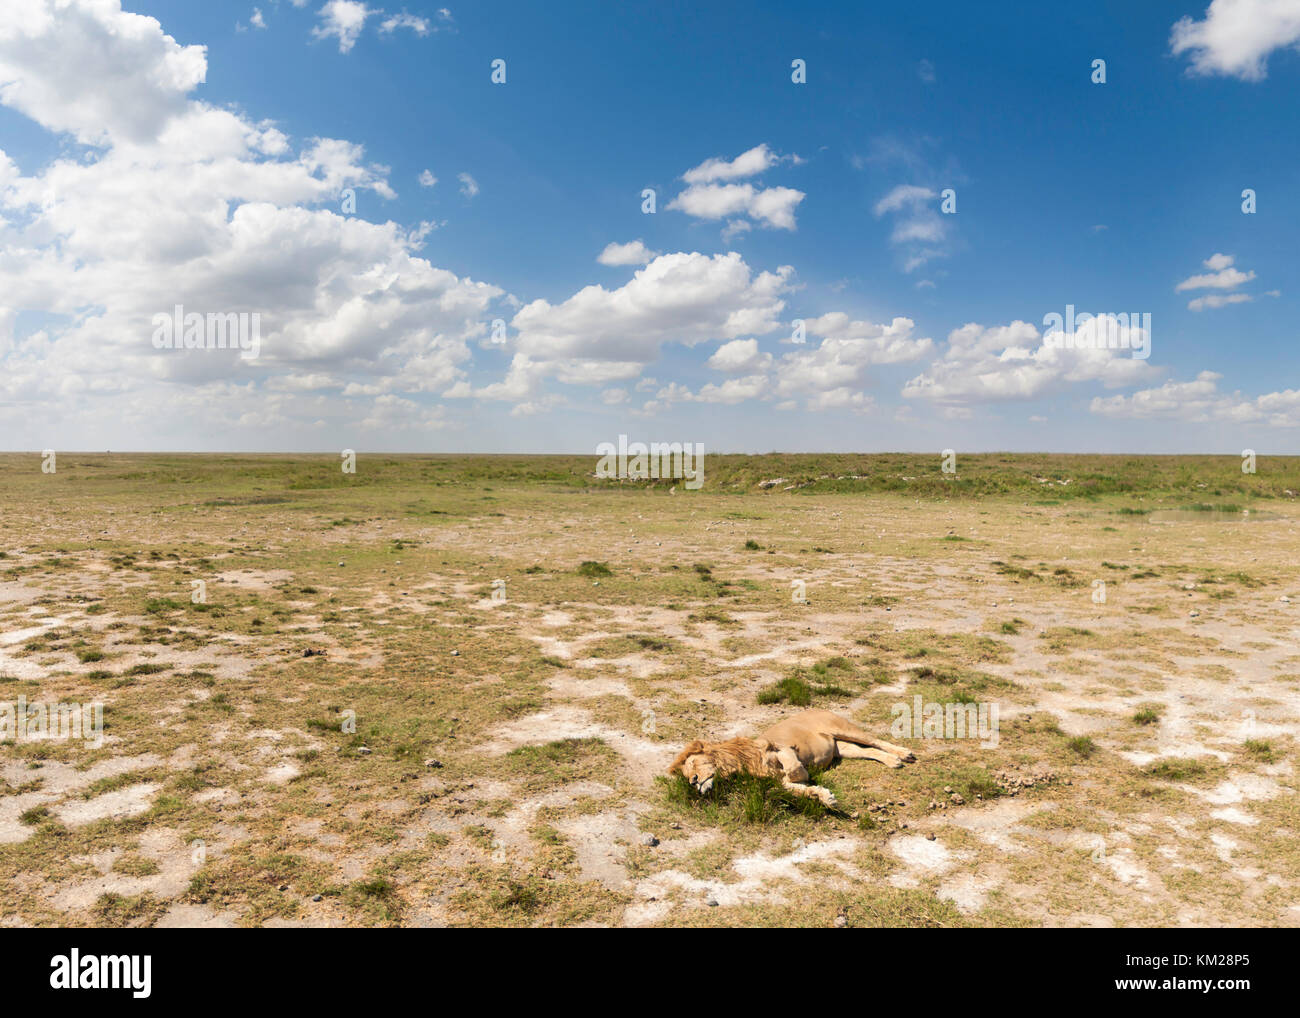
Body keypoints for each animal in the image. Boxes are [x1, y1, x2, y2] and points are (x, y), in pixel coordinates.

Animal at [668, 708, 916, 807]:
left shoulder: (782, 748)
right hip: (840, 748)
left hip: (845, 729)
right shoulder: (778, 782)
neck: (740, 763)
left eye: (693, 764)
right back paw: (893, 761)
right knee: (868, 751)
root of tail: (819, 708)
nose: (693, 782)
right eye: (687, 775)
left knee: (875, 741)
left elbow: (794, 768)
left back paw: (905, 754)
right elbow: (799, 790)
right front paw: (826, 797)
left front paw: (804, 774)